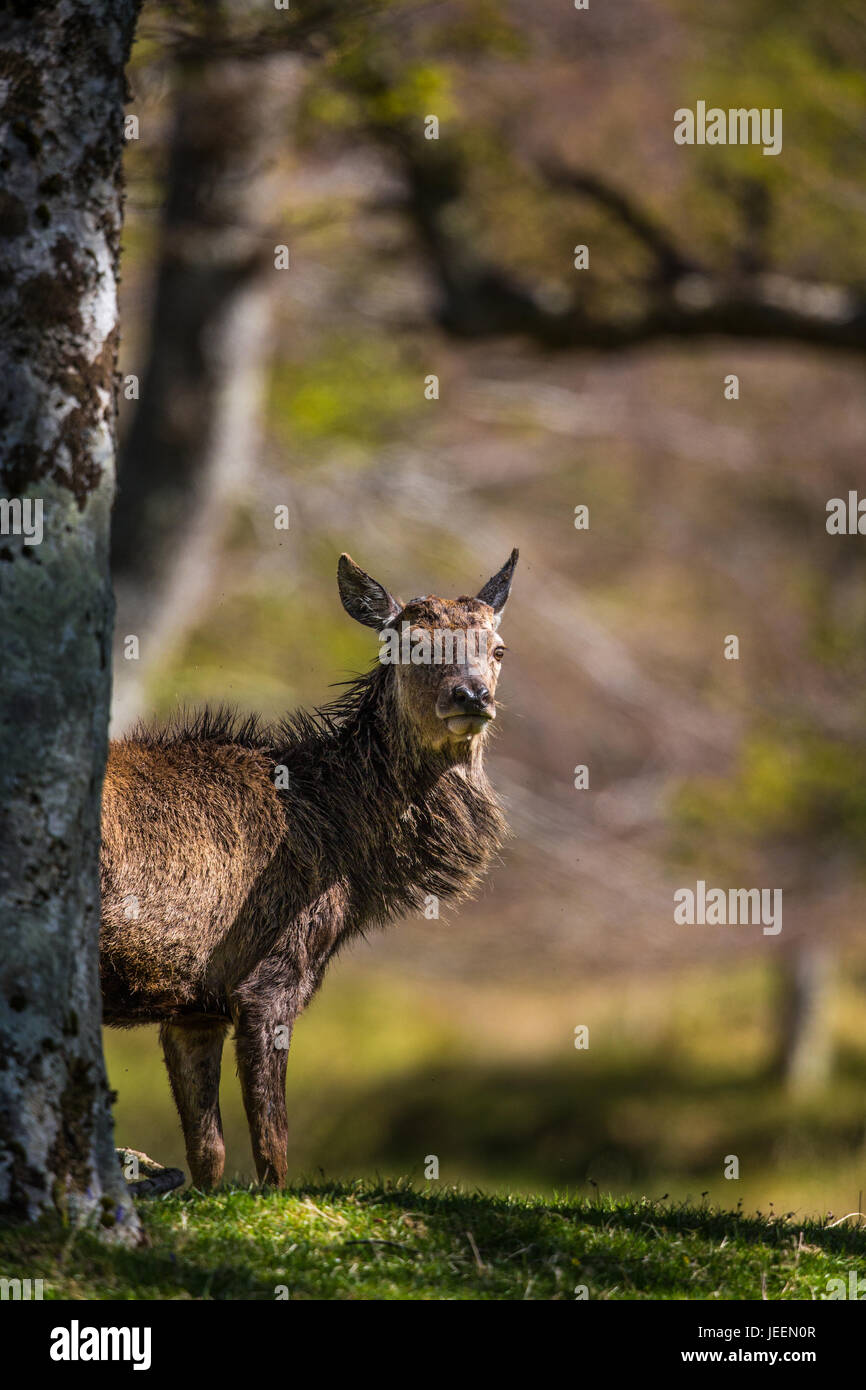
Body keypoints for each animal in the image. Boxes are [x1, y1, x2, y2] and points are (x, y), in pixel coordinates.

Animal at [99, 550, 518, 1189]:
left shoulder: (193, 1001)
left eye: (497, 648)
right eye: (408, 644)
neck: (347, 852)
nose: (471, 696)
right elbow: (273, 1149)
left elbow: (208, 1155)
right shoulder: (271, 972)